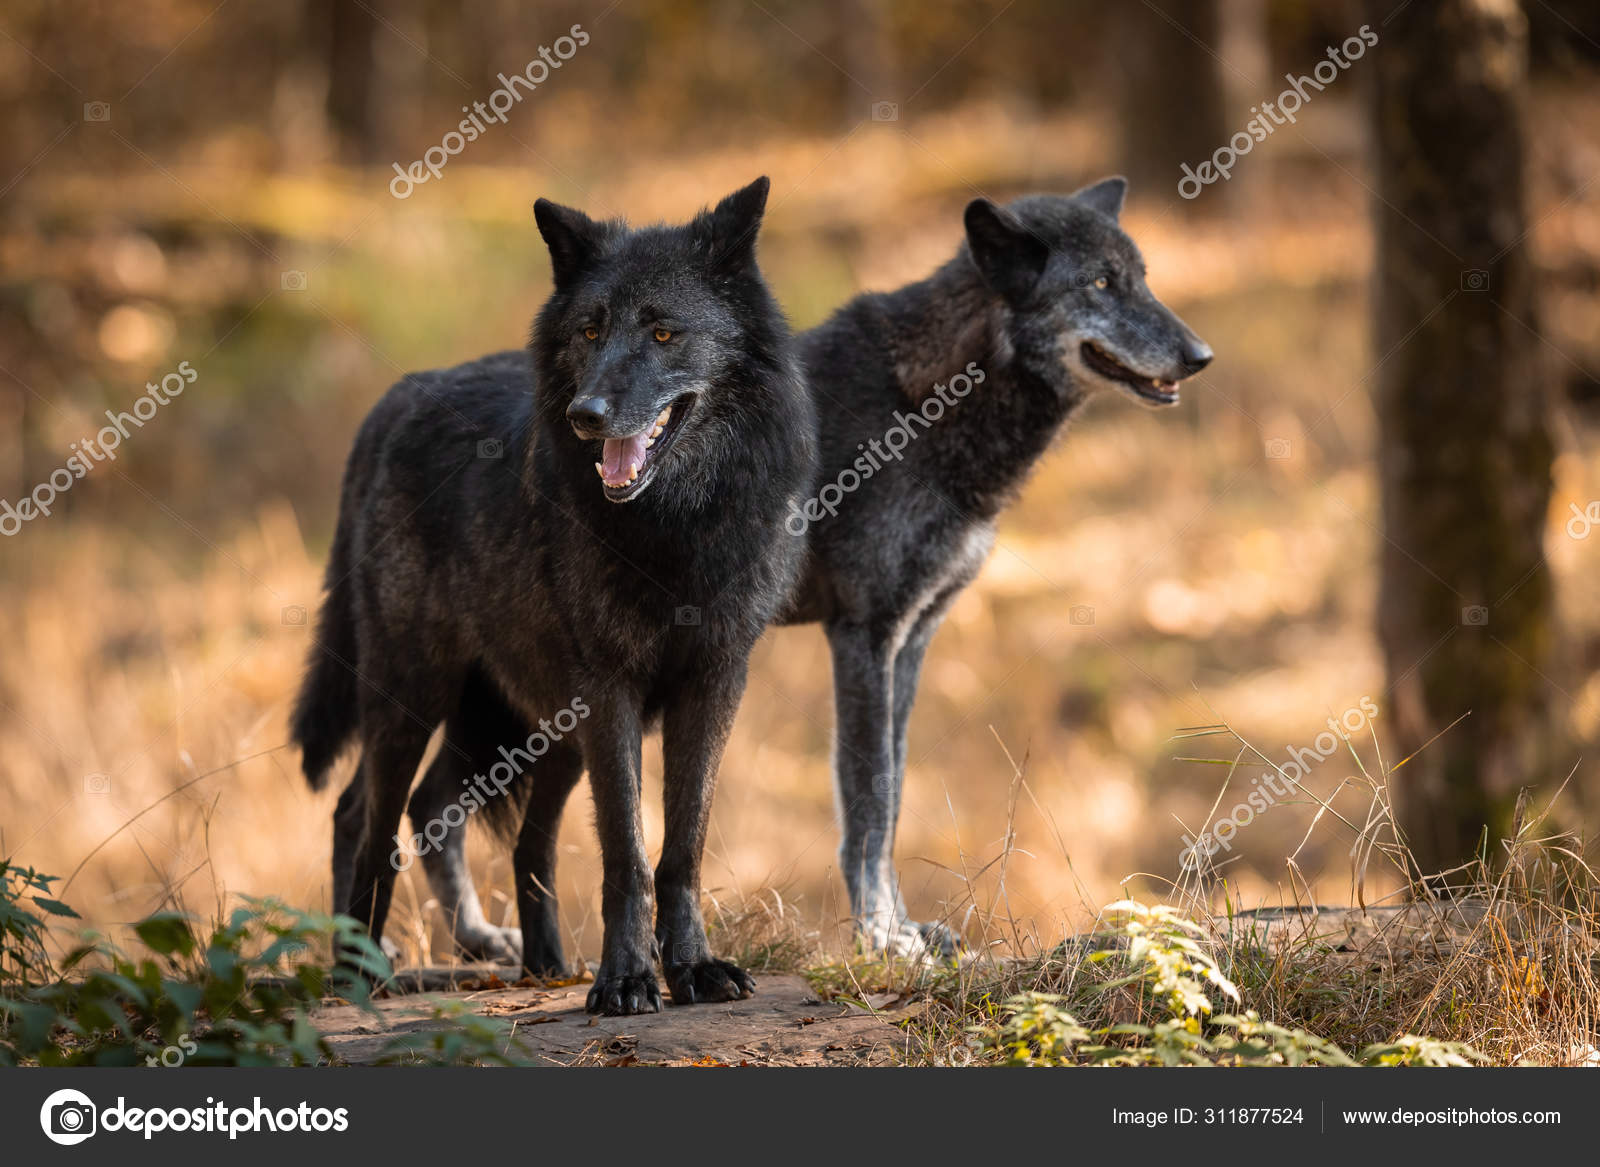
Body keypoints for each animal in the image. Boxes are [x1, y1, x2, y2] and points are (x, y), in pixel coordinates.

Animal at [289, 177, 816, 1015]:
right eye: (590, 331)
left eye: (664, 333)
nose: (586, 415)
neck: (674, 527)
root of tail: (395, 399)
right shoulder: (611, 688)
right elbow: (627, 853)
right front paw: (627, 979)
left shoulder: (714, 681)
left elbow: (681, 845)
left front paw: (692, 968)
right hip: (418, 693)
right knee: (365, 816)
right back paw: (360, 970)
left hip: (536, 725)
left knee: (464, 819)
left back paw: (540, 960)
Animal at [329, 176, 1209, 963]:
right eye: (1102, 284)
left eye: (1142, 278)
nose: (1199, 355)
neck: (922, 401)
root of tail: (394, 398)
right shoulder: (863, 636)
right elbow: (868, 803)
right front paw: (884, 939)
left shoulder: (910, 641)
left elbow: (890, 794)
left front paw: (902, 928)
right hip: (439, 680)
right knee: (363, 805)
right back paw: (371, 957)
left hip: (514, 701)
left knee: (417, 802)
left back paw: (475, 942)